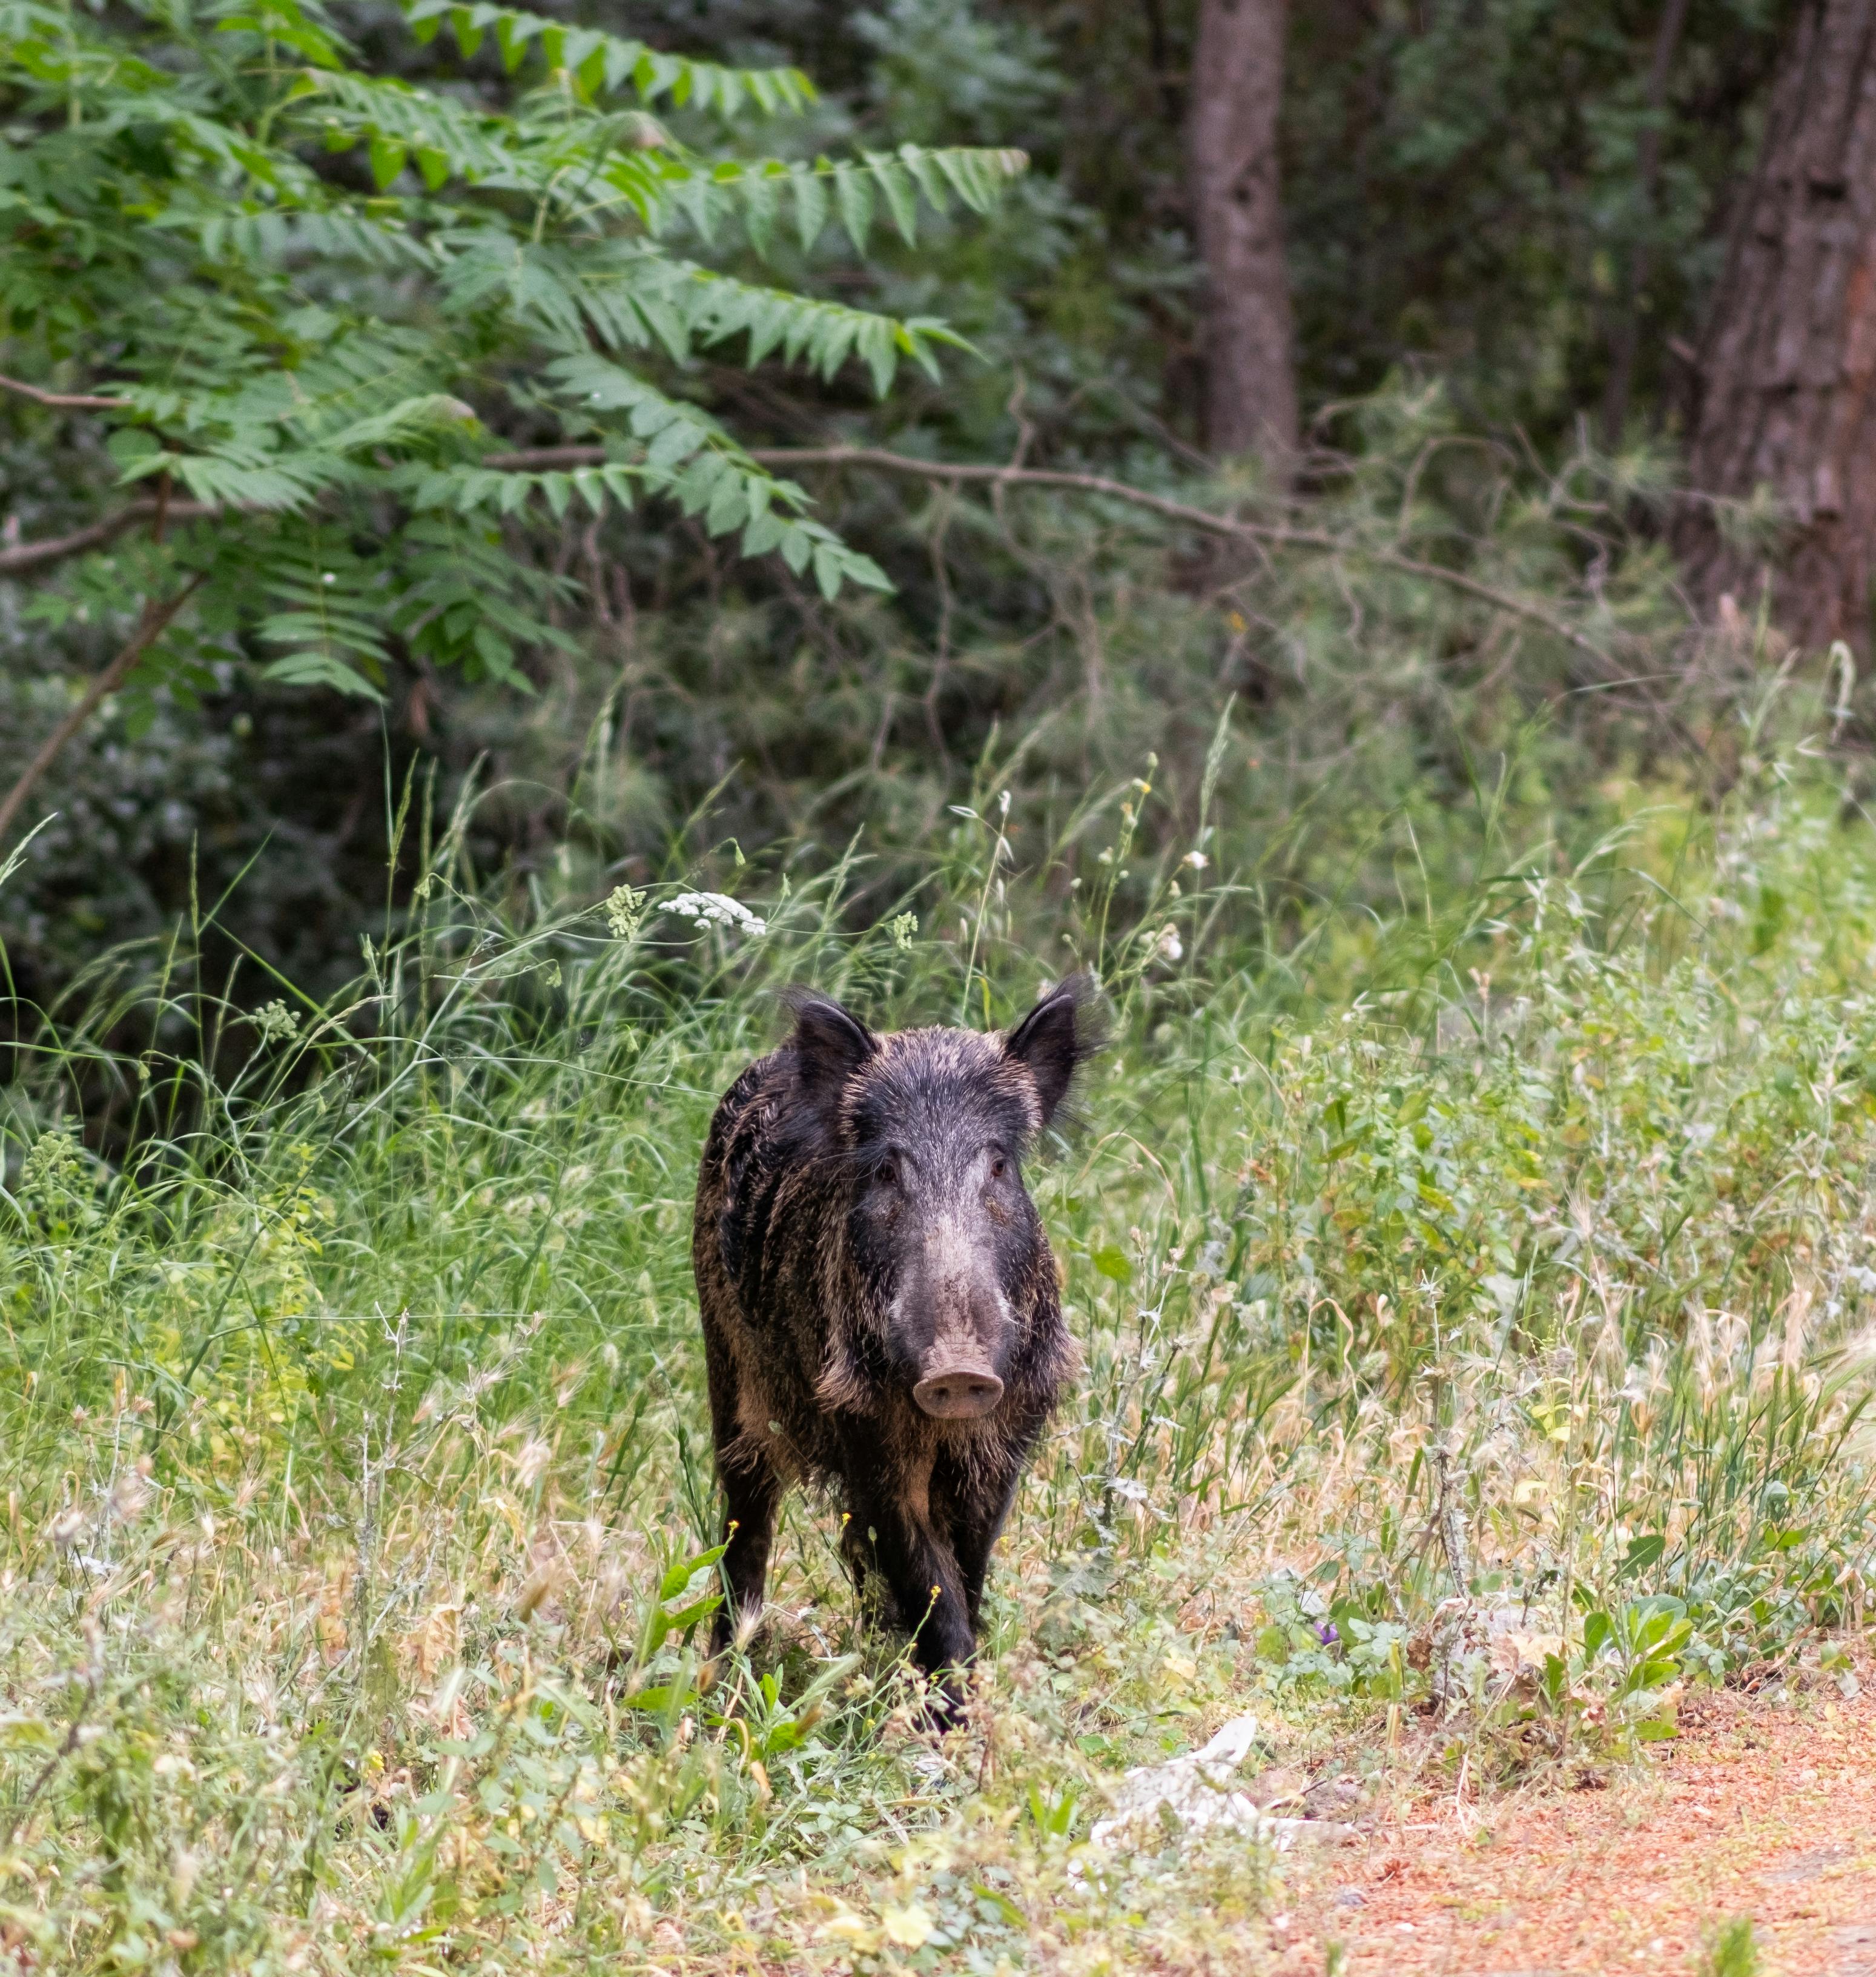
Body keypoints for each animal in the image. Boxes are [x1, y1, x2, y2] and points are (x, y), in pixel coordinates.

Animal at [692, 976, 1096, 1710]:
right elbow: (927, 1586)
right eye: (885, 1172)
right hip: (727, 1373)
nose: (957, 1369)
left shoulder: (1009, 1434)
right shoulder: (864, 1431)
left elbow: (965, 1571)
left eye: (999, 1166)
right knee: (746, 1523)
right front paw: (954, 1717)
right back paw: (722, 1682)